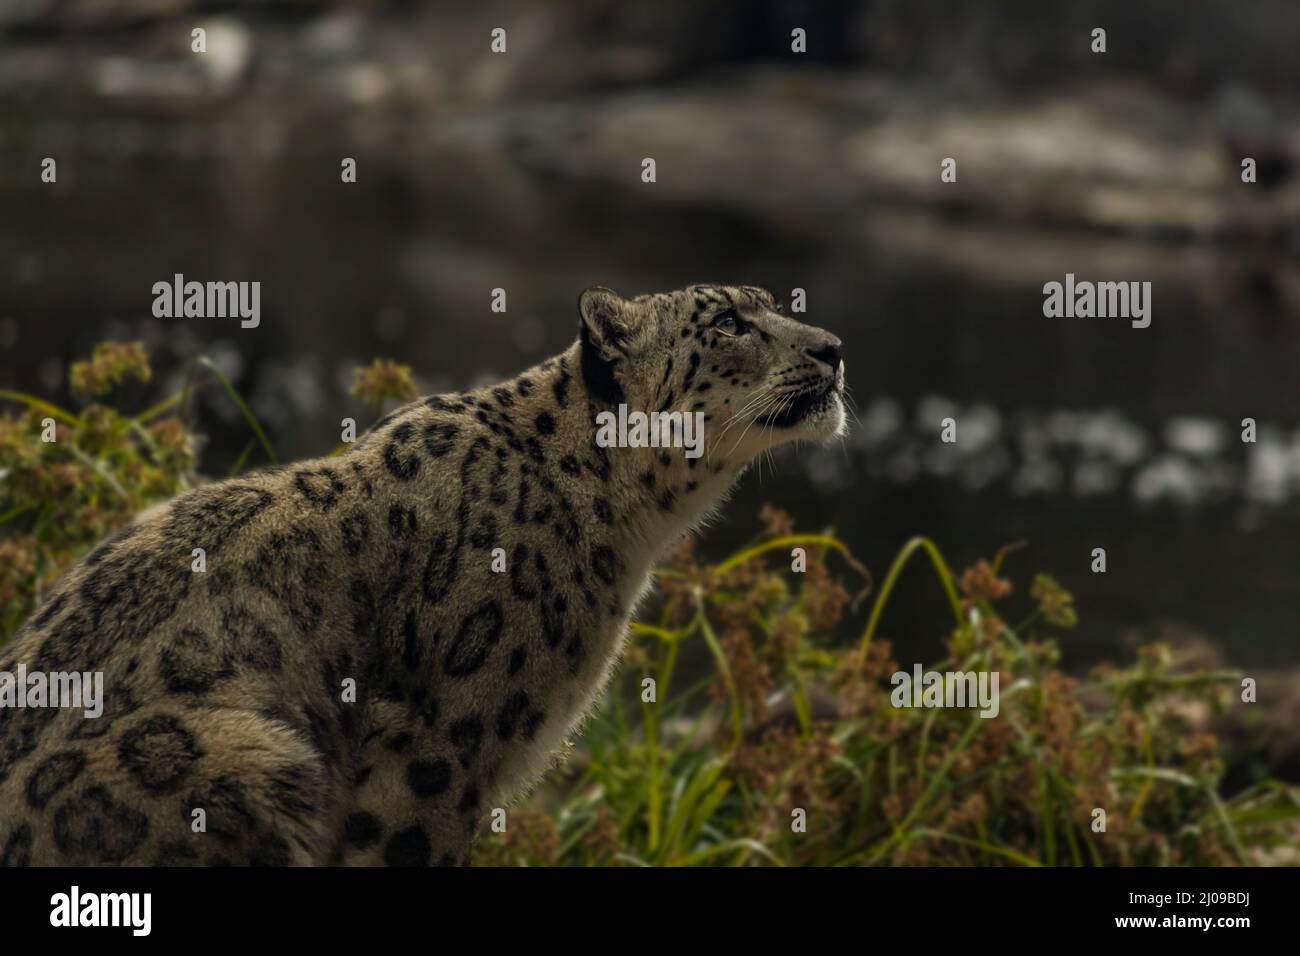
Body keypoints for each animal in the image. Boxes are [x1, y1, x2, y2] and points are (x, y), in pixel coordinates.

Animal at [0, 283, 845, 866]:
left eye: (770, 305)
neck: (630, 527)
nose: (834, 347)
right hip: (246, 757)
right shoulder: (437, 748)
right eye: (729, 322)